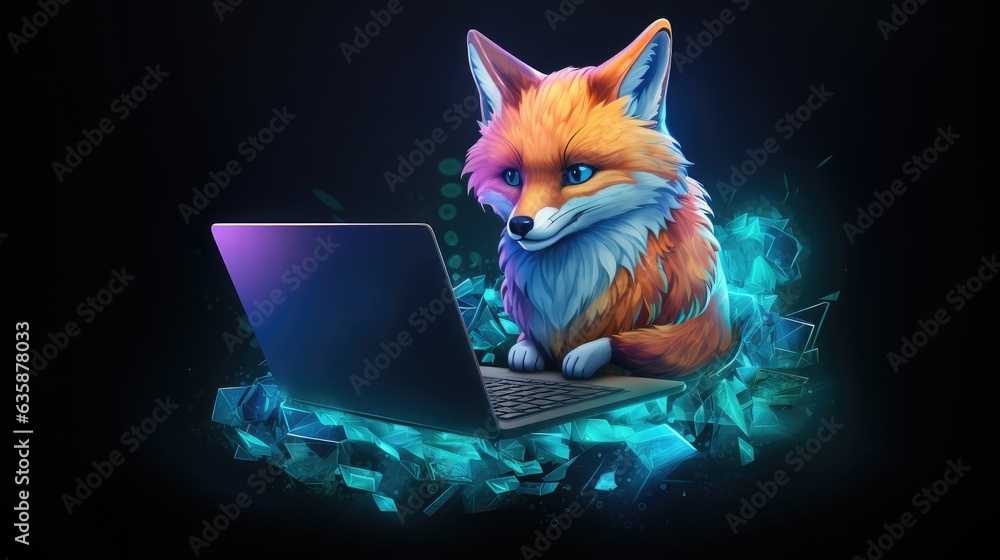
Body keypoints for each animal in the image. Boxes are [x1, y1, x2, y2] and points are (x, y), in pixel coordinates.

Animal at [462, 19, 735, 384]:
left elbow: (626, 342)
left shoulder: (705, 332)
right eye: (512, 178)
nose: (519, 225)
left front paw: (584, 355)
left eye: (577, 173)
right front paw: (527, 349)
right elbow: (529, 341)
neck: (568, 281)